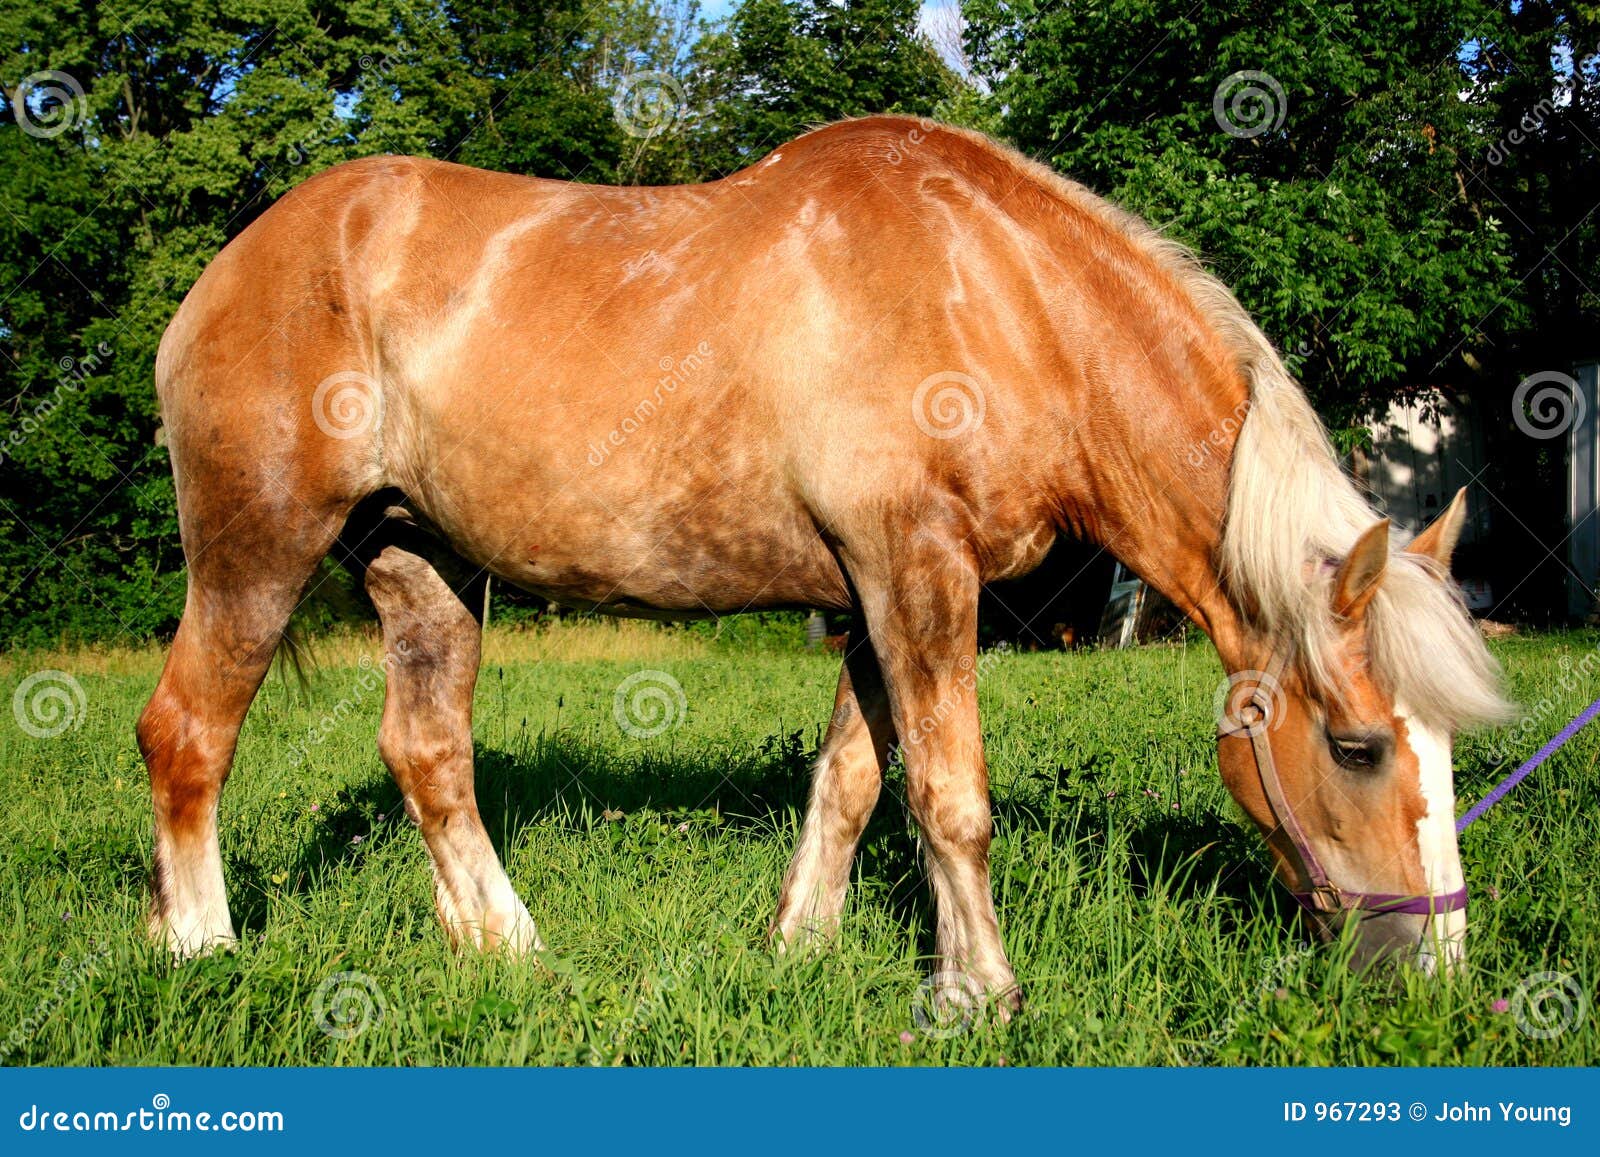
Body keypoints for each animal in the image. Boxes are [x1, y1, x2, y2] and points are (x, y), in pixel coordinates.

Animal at [137, 115, 1509, 1008]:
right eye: (1356, 746)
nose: (1438, 973)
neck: (1000, 293)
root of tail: (229, 269)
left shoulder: (870, 597)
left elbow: (849, 783)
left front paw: (801, 944)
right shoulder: (917, 572)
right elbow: (951, 795)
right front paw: (979, 992)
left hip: (419, 566)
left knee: (427, 753)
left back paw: (506, 947)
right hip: (258, 549)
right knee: (186, 732)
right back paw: (201, 948)